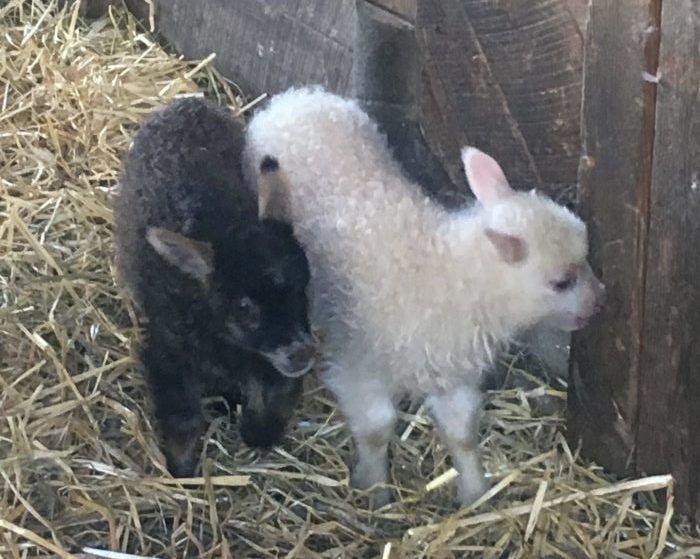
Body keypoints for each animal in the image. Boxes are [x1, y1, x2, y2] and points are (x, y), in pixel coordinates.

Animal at [114, 97, 315, 477]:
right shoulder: (166, 354)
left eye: (303, 287)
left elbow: (273, 400)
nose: (302, 353)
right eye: (243, 308)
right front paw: (181, 466)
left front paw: (256, 433)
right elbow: (182, 416)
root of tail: (186, 102)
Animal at [243, 86, 606, 505]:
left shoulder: (452, 373)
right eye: (562, 281)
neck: (448, 273)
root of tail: (295, 98)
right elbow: (377, 429)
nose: (601, 299)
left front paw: (474, 493)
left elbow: (462, 434)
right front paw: (375, 491)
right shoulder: (358, 364)